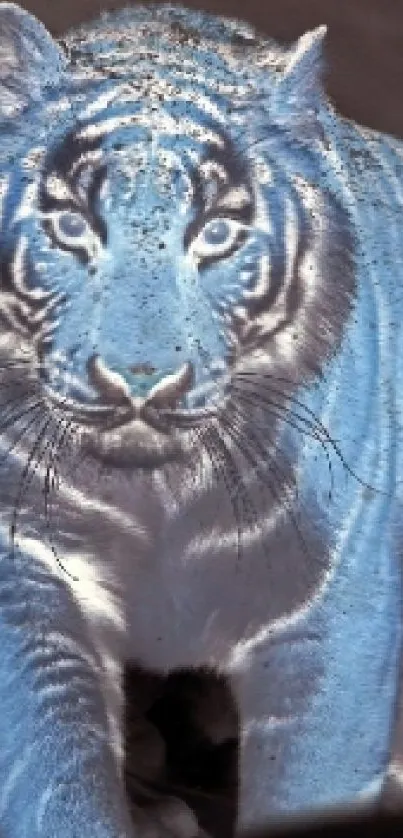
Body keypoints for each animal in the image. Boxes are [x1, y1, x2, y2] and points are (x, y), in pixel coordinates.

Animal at [0, 1, 403, 836]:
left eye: (216, 233)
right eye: (72, 226)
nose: (139, 379)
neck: (159, 496)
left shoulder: (336, 618)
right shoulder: (29, 572)